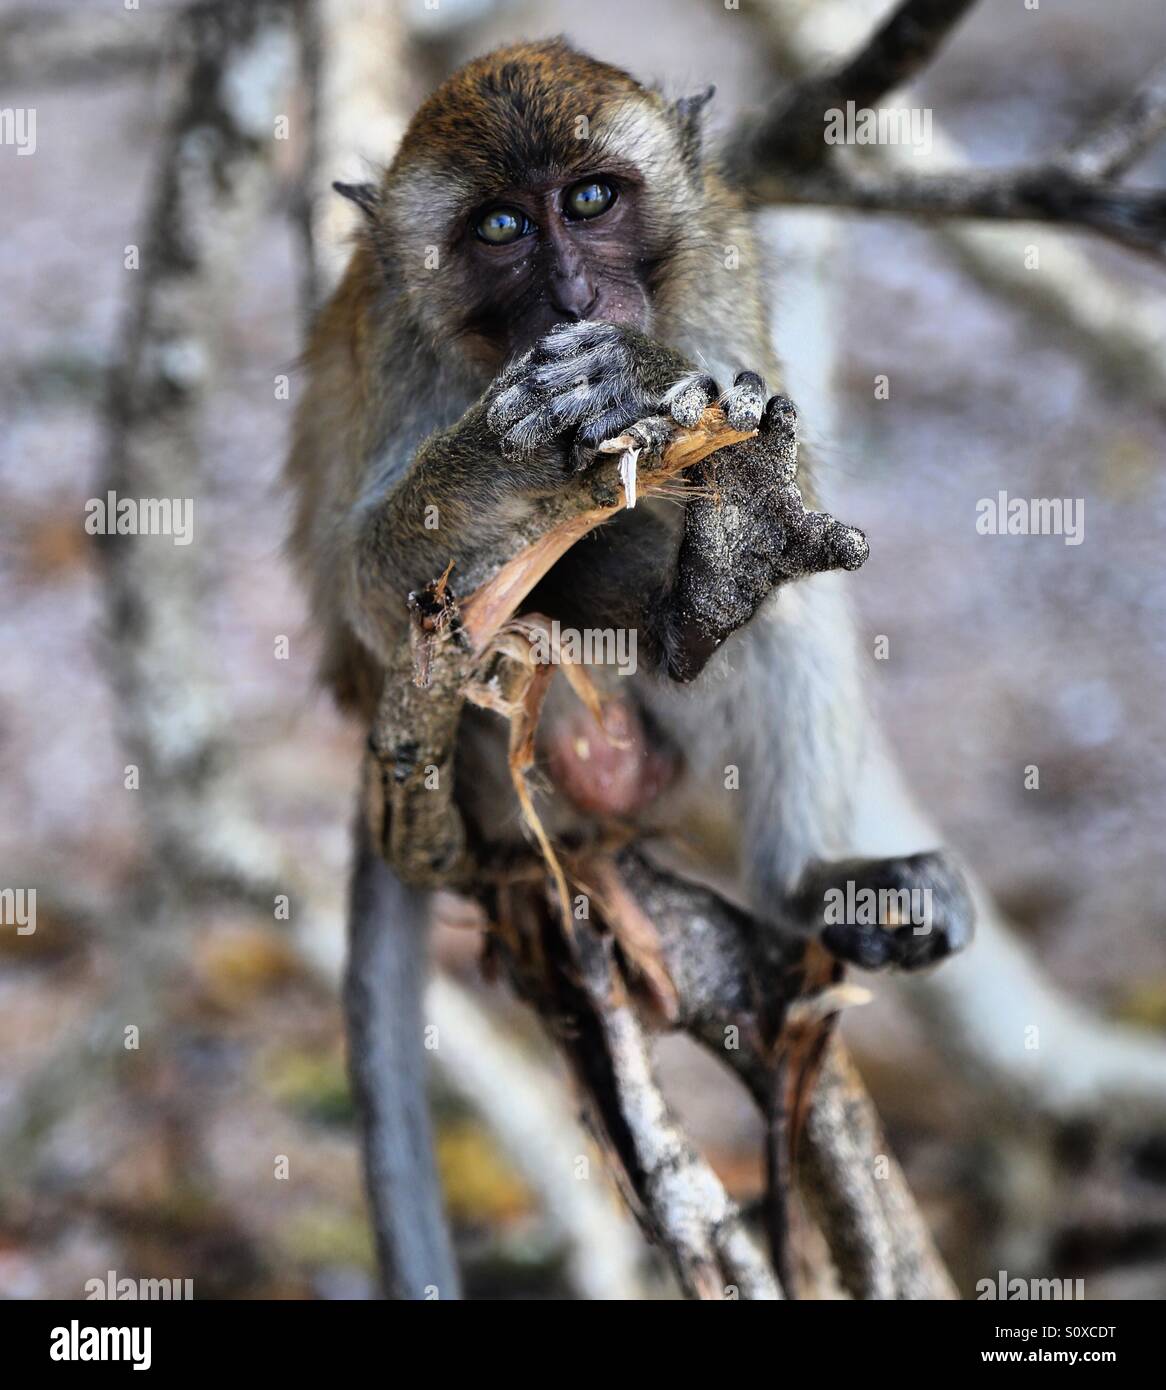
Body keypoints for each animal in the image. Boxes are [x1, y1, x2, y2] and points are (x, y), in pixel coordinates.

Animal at [286, 39, 970, 1300]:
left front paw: (642, 378)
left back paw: (800, 860)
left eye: (592, 201)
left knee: (785, 610)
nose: (571, 300)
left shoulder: (720, 265)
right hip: (508, 772)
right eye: (501, 226)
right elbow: (365, 583)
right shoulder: (401, 352)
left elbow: (770, 448)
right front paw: (513, 437)